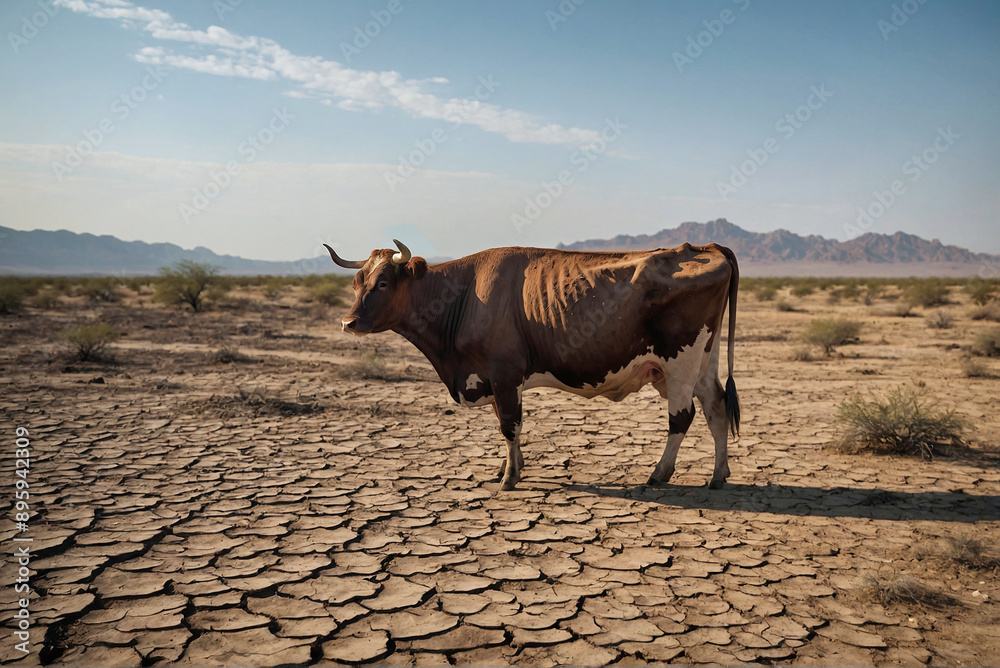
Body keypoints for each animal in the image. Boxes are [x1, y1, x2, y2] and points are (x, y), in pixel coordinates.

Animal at [325, 239, 740, 491]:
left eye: (382, 283)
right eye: (357, 282)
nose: (347, 322)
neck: (465, 294)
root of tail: (705, 246)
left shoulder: (504, 372)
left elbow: (510, 424)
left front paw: (509, 477)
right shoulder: (494, 378)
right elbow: (506, 424)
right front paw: (510, 467)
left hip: (680, 361)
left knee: (682, 417)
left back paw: (659, 474)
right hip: (703, 361)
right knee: (716, 407)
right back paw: (718, 476)